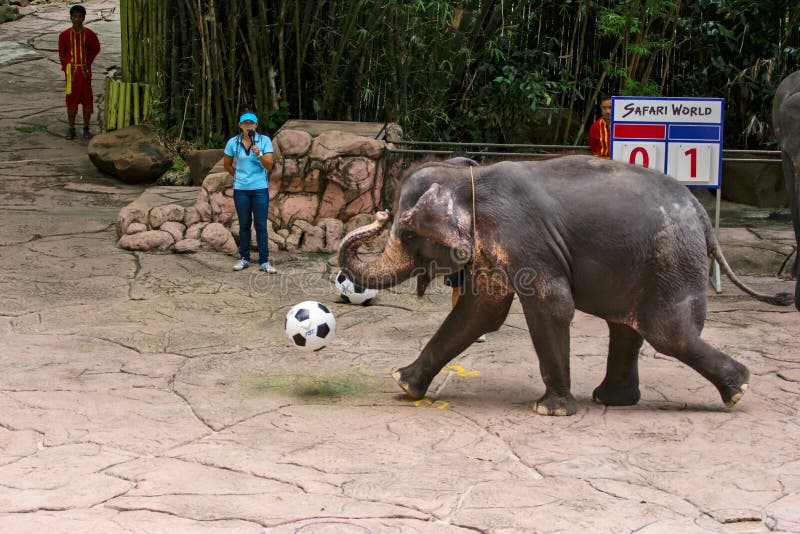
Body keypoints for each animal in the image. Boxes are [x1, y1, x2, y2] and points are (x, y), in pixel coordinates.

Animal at [337, 155, 793, 416]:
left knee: (668, 332)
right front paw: (403, 384)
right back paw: (612, 400)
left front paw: (551, 411)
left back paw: (738, 389)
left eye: (406, 232)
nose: (379, 215)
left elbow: (550, 304)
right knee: (627, 328)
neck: (470, 177)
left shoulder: (523, 237)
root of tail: (702, 217)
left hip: (671, 260)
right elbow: (479, 313)